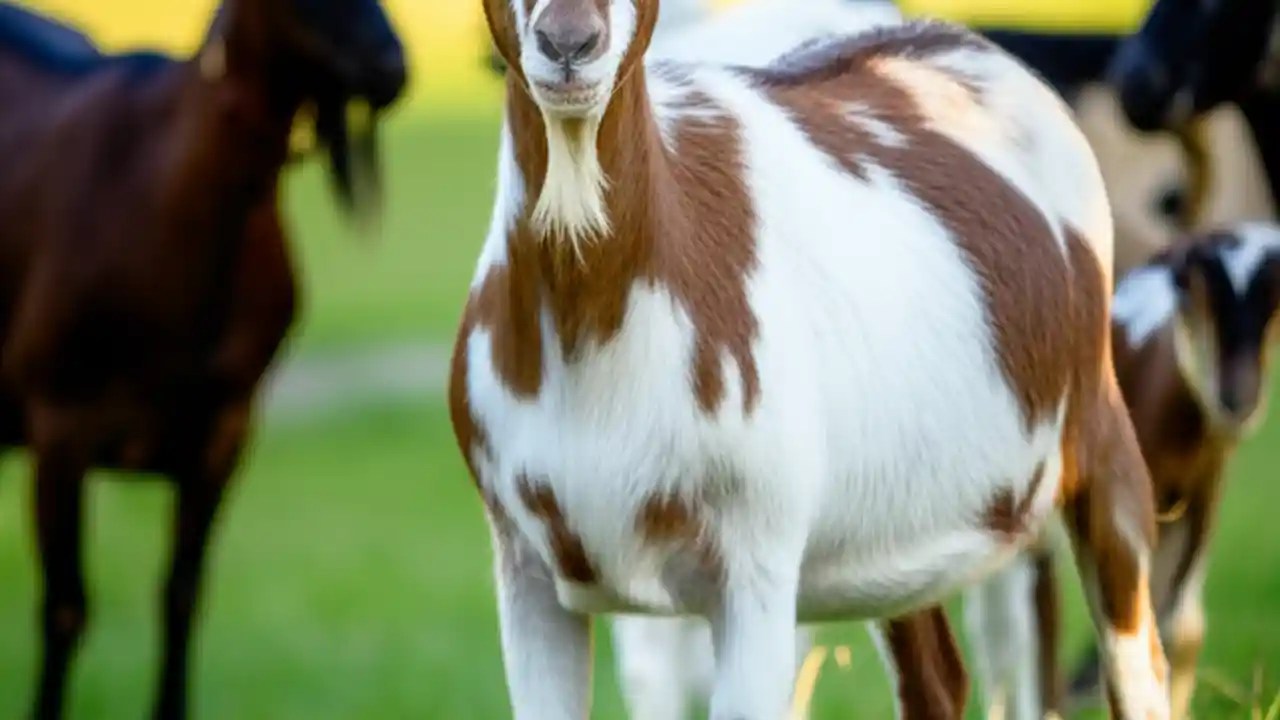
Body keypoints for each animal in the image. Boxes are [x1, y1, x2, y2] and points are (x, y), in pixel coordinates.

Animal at [455, 1, 1170, 718]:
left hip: (1102, 442)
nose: (569, 44)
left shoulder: (757, 559)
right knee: (938, 676)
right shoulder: (526, 568)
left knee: (1135, 666)